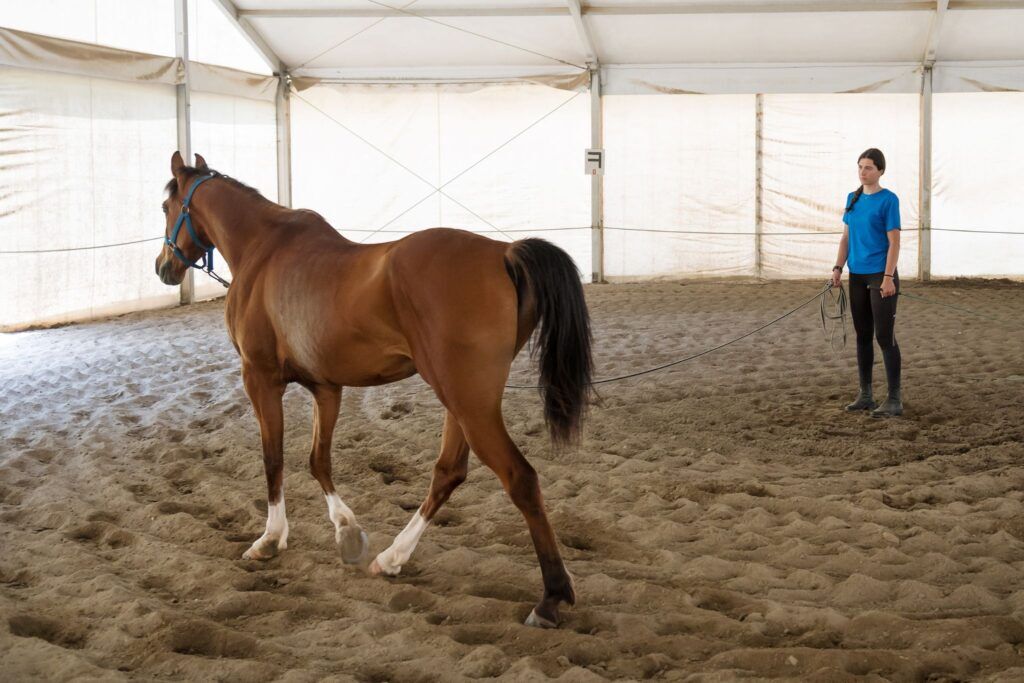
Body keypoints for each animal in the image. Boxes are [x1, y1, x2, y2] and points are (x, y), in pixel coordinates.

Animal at [154, 152, 593, 628]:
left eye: (166, 207)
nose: (163, 267)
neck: (263, 249)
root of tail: (503, 253)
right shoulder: (326, 388)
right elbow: (318, 460)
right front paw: (347, 532)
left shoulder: (260, 378)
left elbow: (274, 459)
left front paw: (270, 539)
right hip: (461, 402)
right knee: (448, 472)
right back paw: (392, 558)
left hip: (470, 404)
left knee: (520, 479)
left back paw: (551, 598)